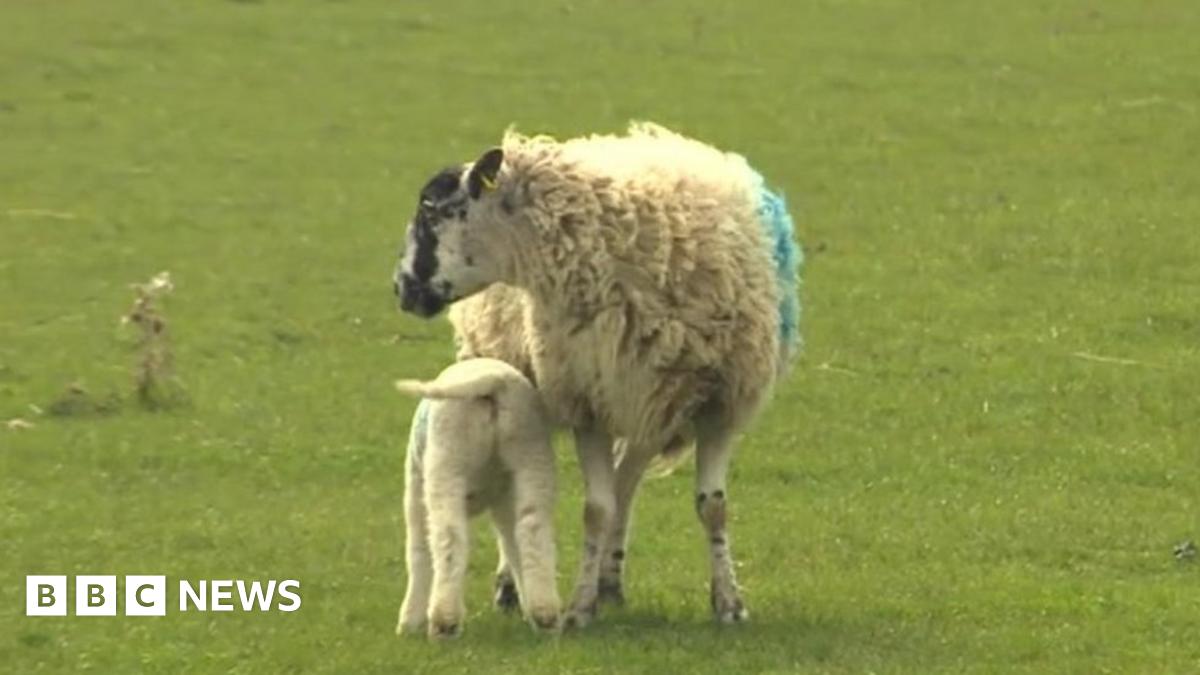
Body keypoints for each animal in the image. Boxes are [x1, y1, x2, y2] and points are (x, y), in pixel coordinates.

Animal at [394, 357, 560, 638]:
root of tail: (493, 382)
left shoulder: (415, 489)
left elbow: (417, 551)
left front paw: (409, 621)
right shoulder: (504, 501)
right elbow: (512, 547)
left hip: (447, 459)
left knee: (449, 537)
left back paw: (444, 621)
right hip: (531, 454)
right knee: (532, 531)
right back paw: (544, 614)